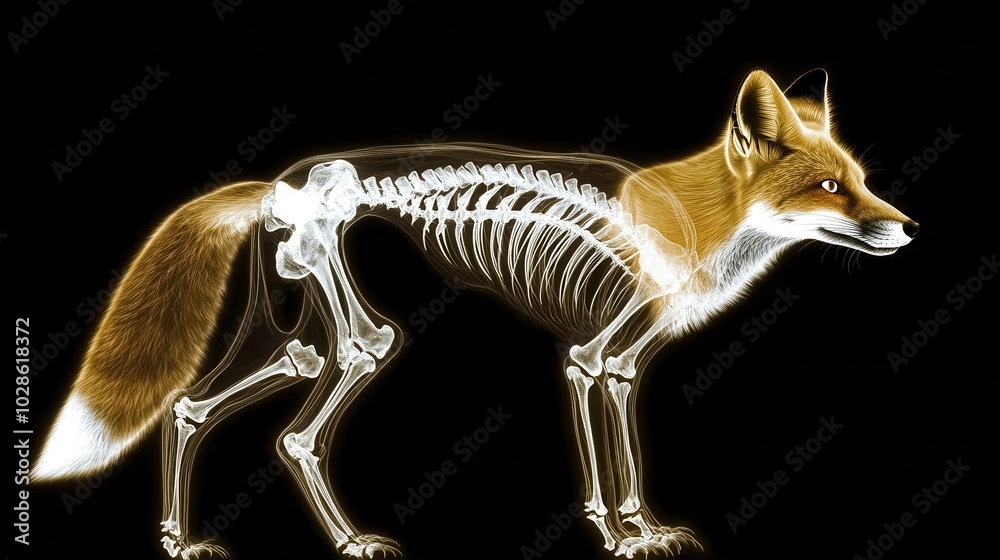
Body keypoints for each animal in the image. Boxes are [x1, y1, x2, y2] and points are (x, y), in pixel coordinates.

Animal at [35, 68, 917, 559]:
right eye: (828, 188)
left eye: (860, 179)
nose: (906, 228)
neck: (696, 220)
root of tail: (276, 180)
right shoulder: (590, 352)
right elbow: (600, 454)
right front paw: (616, 540)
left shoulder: (624, 357)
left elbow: (626, 448)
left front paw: (645, 532)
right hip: (363, 336)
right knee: (299, 423)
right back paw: (350, 544)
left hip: (296, 333)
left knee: (192, 404)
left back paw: (180, 544)